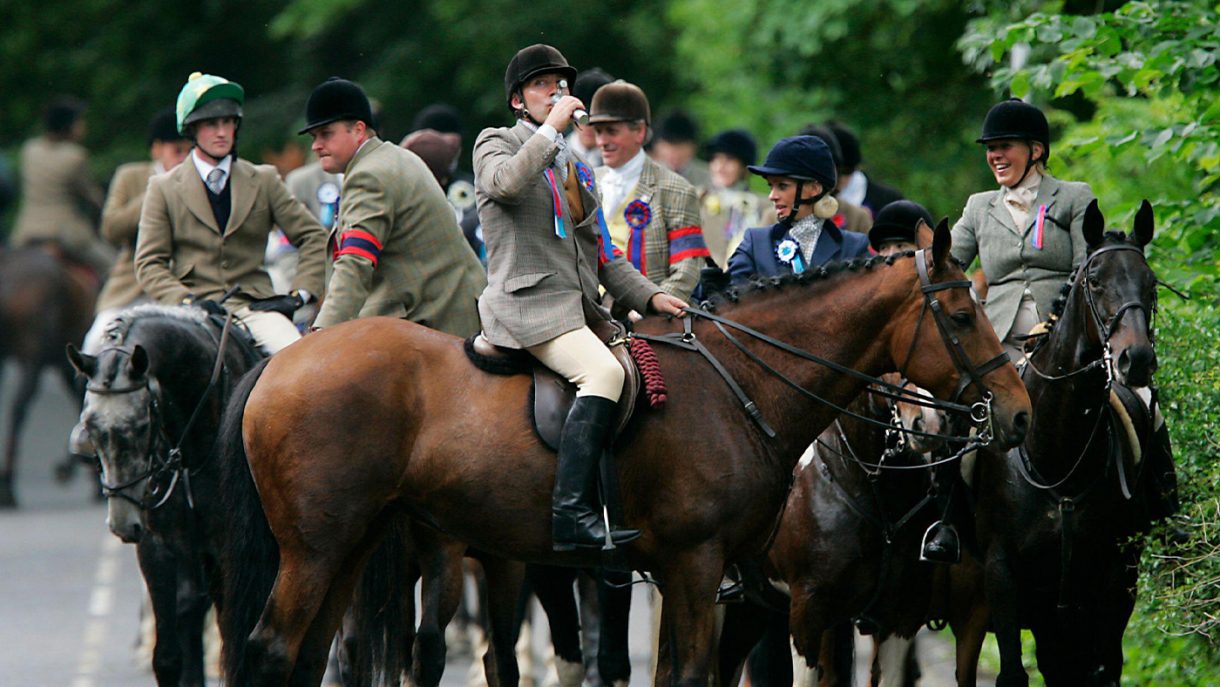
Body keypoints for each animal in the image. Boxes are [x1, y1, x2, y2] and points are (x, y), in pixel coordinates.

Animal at [65, 305, 263, 686]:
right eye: (91, 427)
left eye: (141, 425)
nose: (123, 524)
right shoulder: (157, 547)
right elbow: (168, 656)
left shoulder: (226, 551)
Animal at [950, 200, 1163, 687]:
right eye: (1095, 280)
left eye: (1150, 282)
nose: (1136, 359)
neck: (1056, 457)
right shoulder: (1002, 575)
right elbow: (1013, 671)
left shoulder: (1113, 579)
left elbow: (1104, 669)